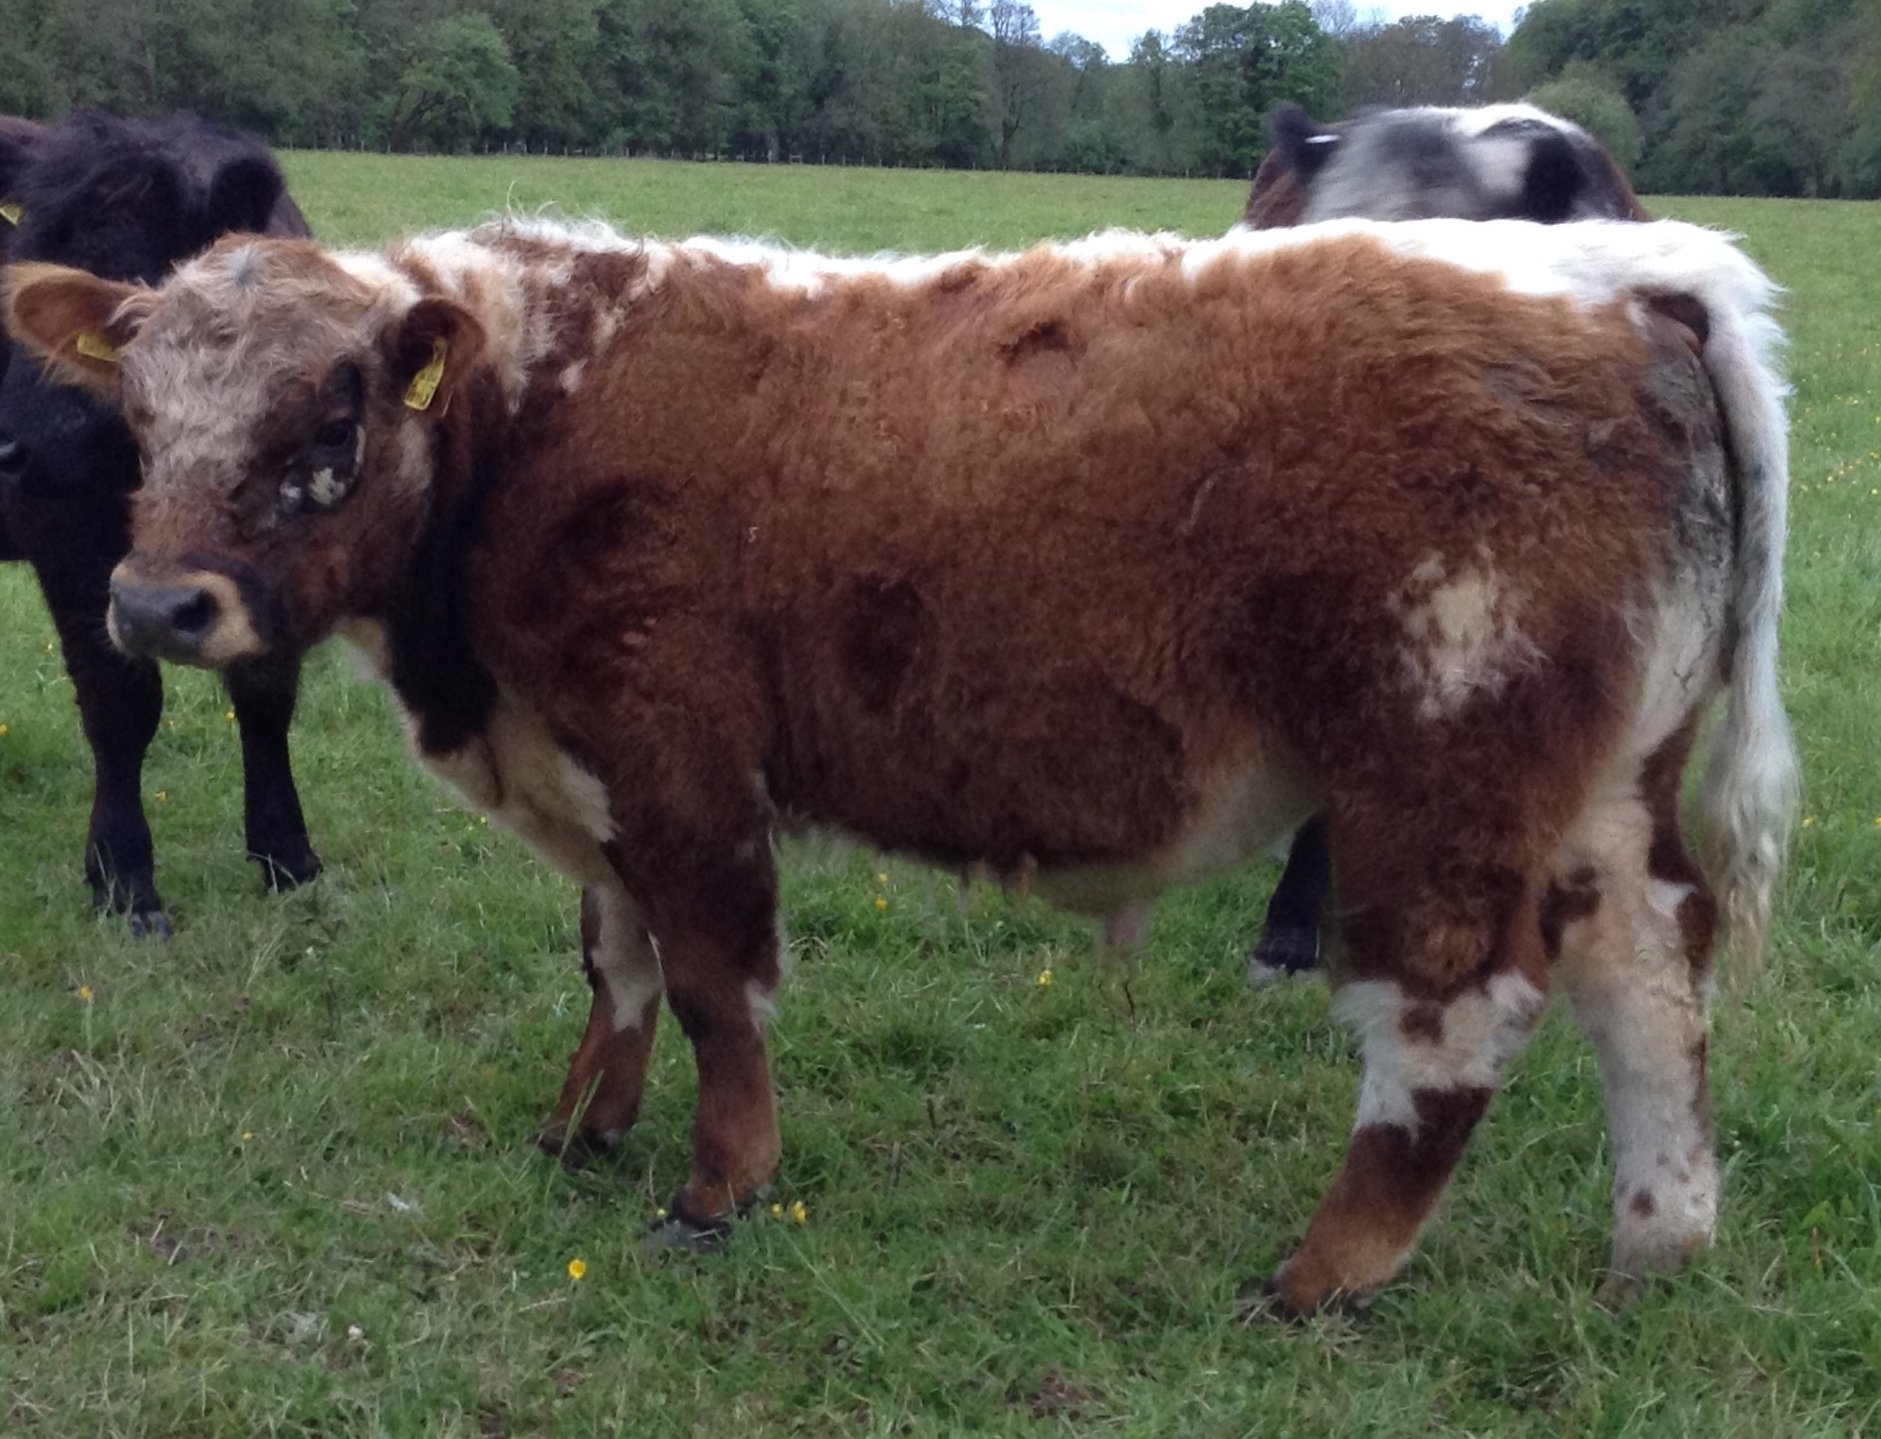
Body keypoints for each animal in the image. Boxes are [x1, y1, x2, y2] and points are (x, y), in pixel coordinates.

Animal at [0, 111, 320, 935]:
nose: (8, 446)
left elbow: (266, 696)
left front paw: (287, 856)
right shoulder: (73, 547)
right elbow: (120, 707)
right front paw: (124, 880)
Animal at [7, 210, 1795, 1312]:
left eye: (332, 418)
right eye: (142, 419)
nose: (154, 604)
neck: (533, 415)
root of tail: (1631, 271)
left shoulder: (674, 748)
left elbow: (711, 976)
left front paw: (714, 1187)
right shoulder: (585, 769)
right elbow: (616, 956)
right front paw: (583, 1124)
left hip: (1442, 768)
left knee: (1451, 1018)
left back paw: (1326, 1273)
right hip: (1600, 786)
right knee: (1653, 972)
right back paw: (1660, 1238)